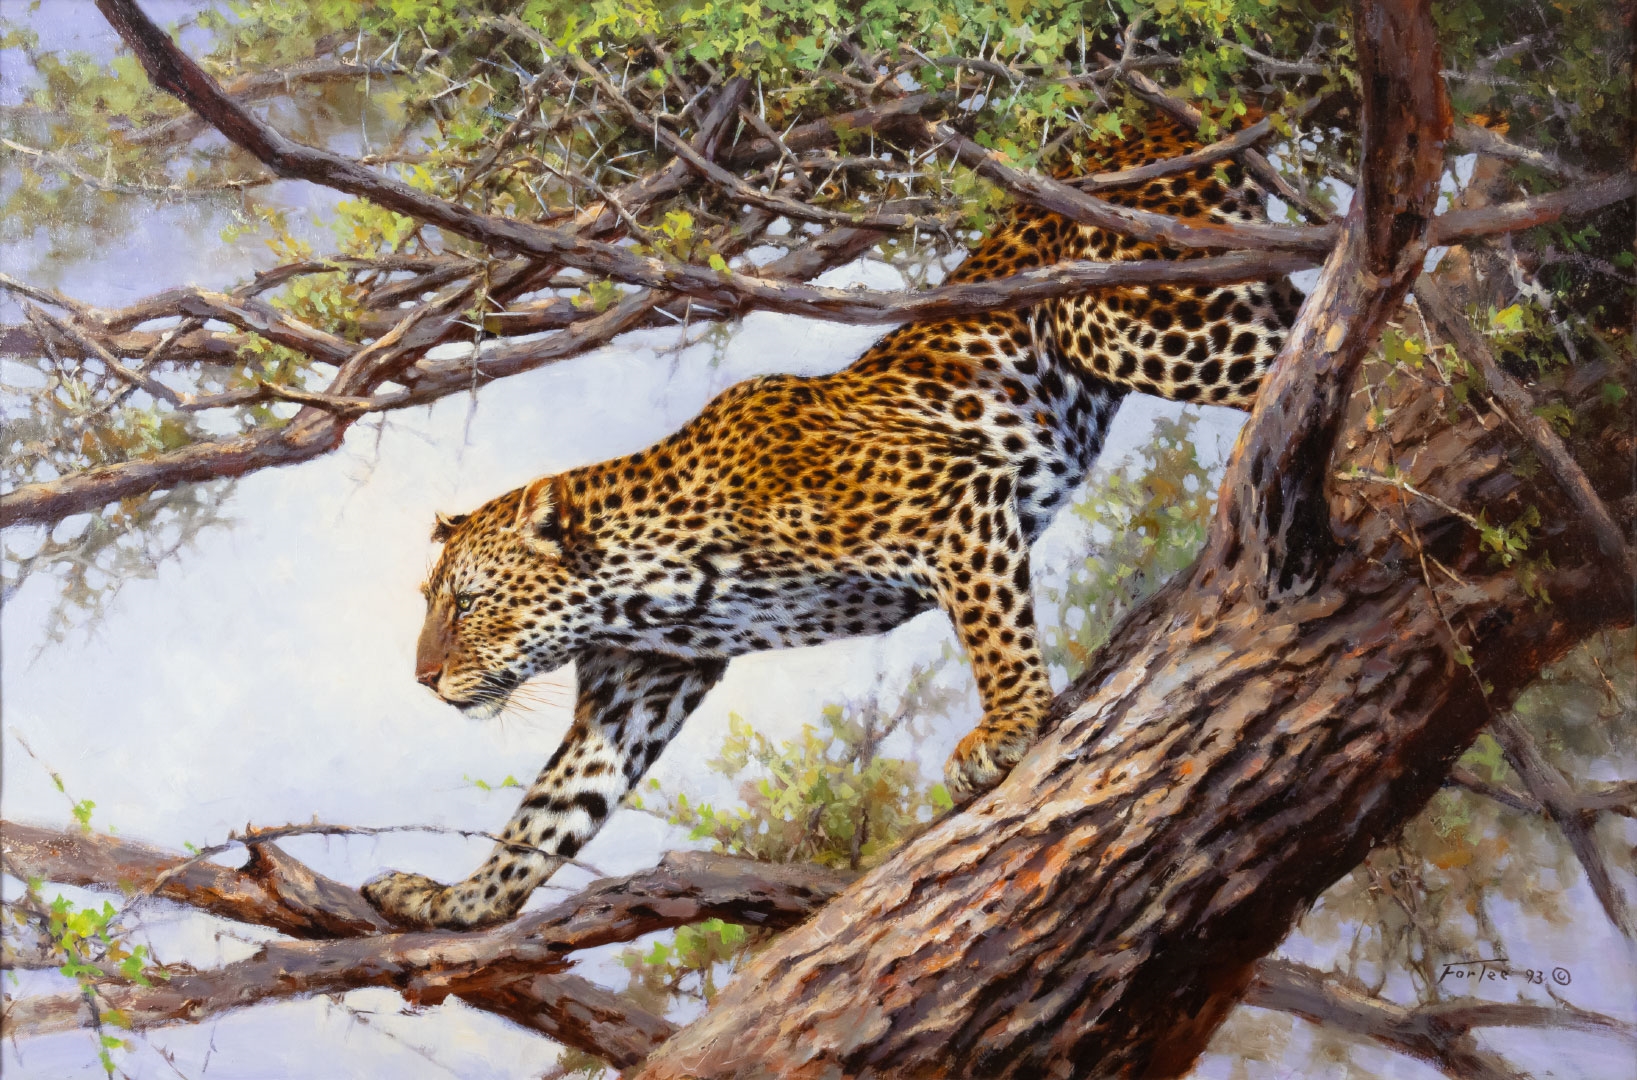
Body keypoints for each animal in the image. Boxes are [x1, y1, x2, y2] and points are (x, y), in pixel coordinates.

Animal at [362, 114, 1305, 930]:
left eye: (469, 603)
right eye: (432, 602)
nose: (420, 679)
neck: (638, 588)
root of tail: (1163, 123)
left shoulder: (952, 497)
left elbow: (992, 634)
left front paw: (1006, 730)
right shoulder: (636, 689)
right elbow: (547, 815)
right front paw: (452, 904)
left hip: (1122, 316)